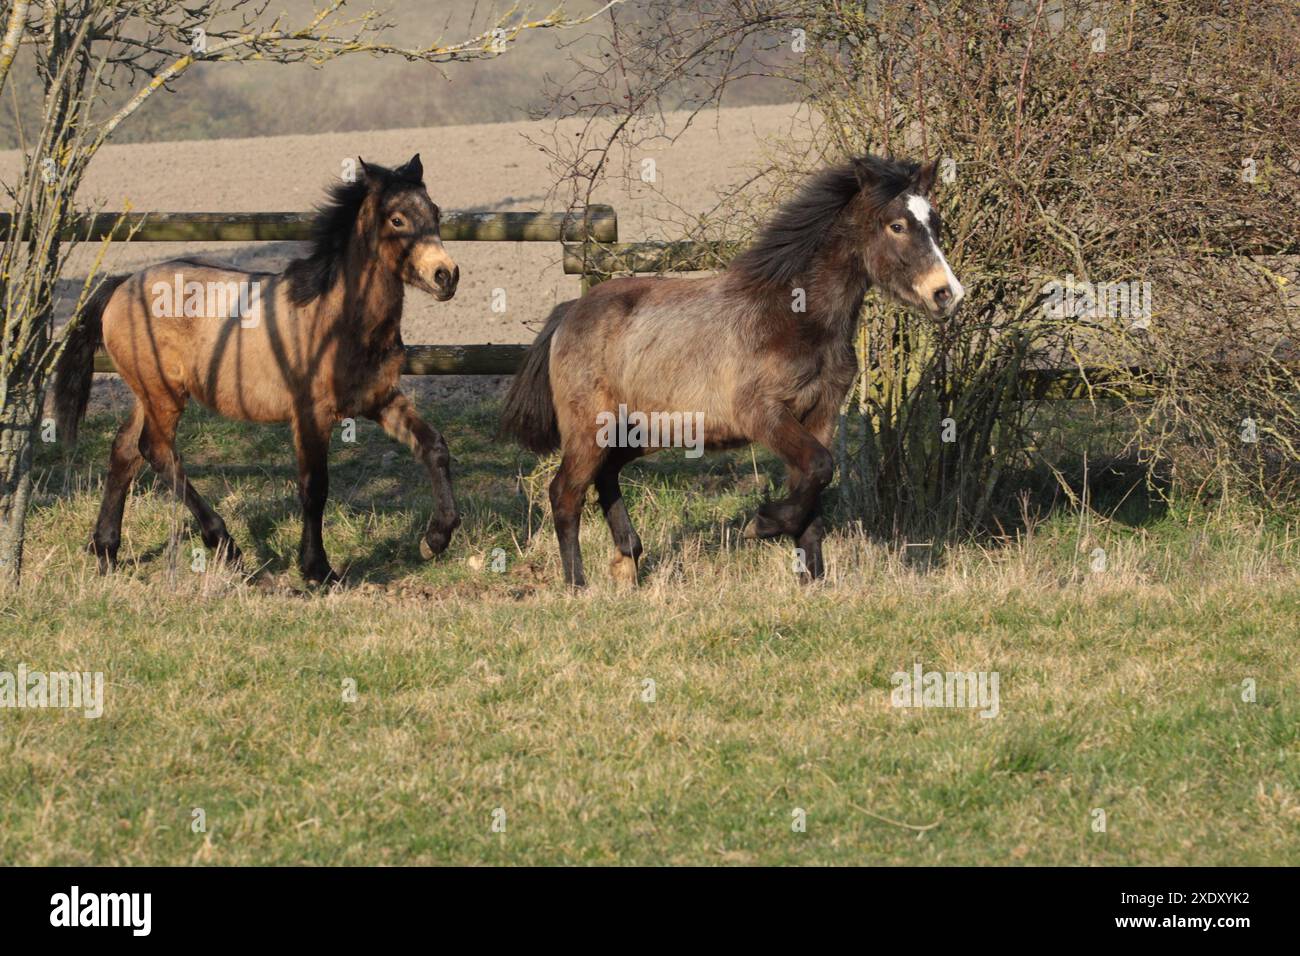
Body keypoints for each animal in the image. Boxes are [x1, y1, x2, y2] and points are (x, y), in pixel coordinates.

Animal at [54, 154, 462, 585]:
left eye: (435, 213)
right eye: (397, 219)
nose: (446, 275)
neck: (335, 318)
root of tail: (123, 283)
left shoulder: (380, 399)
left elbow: (434, 447)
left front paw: (435, 539)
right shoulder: (311, 414)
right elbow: (314, 487)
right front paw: (318, 569)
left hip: (148, 393)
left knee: (125, 450)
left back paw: (106, 551)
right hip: (163, 394)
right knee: (155, 450)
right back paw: (225, 546)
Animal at [501, 155, 965, 588]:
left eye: (935, 222)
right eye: (896, 225)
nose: (947, 294)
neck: (794, 317)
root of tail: (568, 313)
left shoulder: (818, 416)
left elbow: (814, 494)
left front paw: (812, 579)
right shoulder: (763, 415)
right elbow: (820, 468)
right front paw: (763, 525)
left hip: (641, 431)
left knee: (606, 476)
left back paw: (627, 560)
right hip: (591, 430)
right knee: (565, 493)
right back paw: (578, 584)